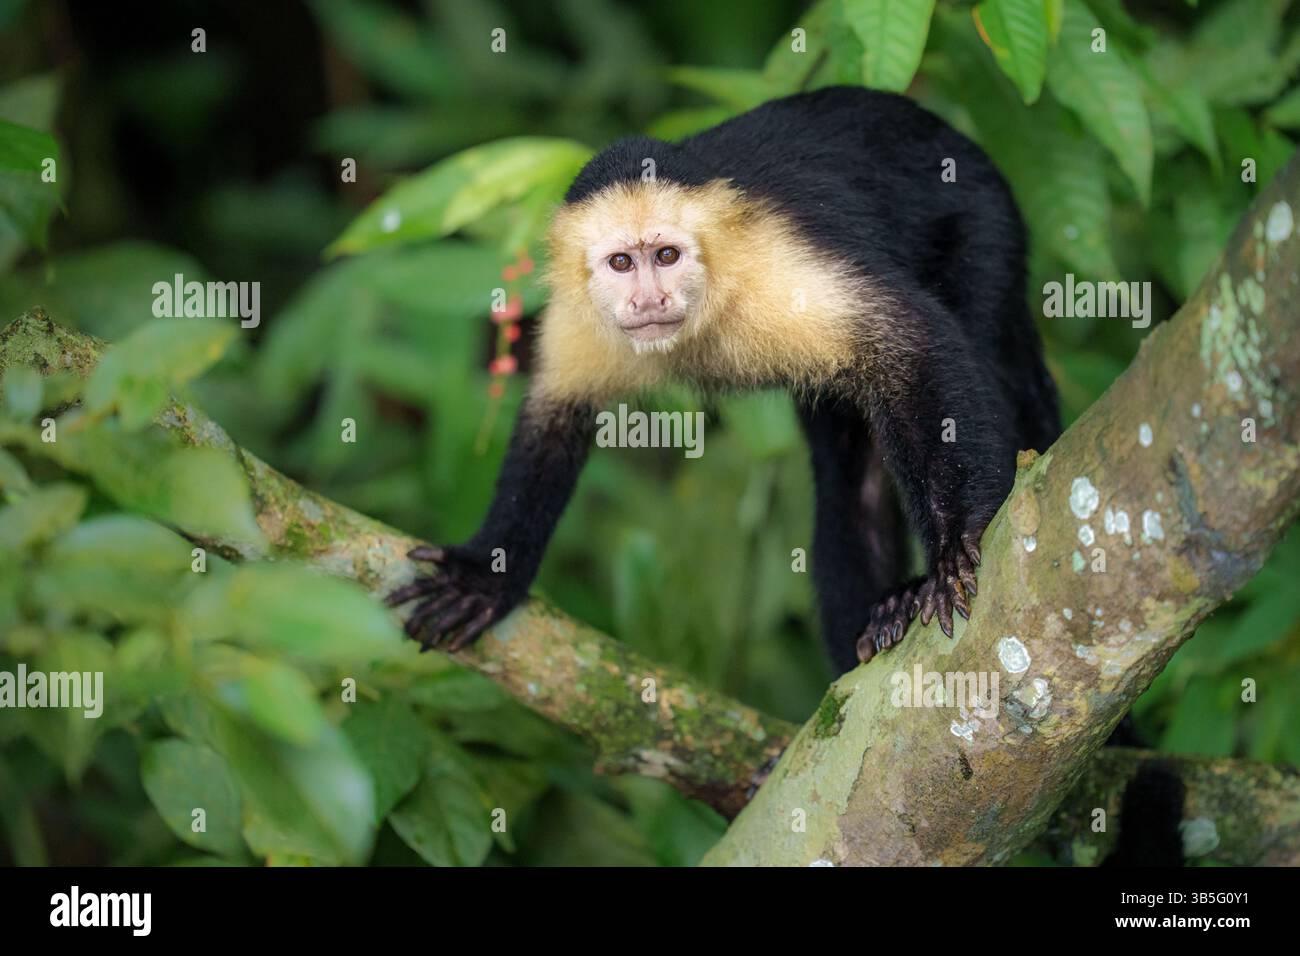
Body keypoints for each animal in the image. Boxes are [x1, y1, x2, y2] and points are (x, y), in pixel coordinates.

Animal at [387, 86, 1060, 674]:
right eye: (621, 263)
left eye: (666, 256)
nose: (650, 300)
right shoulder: (580, 315)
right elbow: (553, 421)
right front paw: (485, 578)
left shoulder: (780, 269)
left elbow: (918, 343)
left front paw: (953, 546)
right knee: (847, 471)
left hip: (982, 220)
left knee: (979, 350)